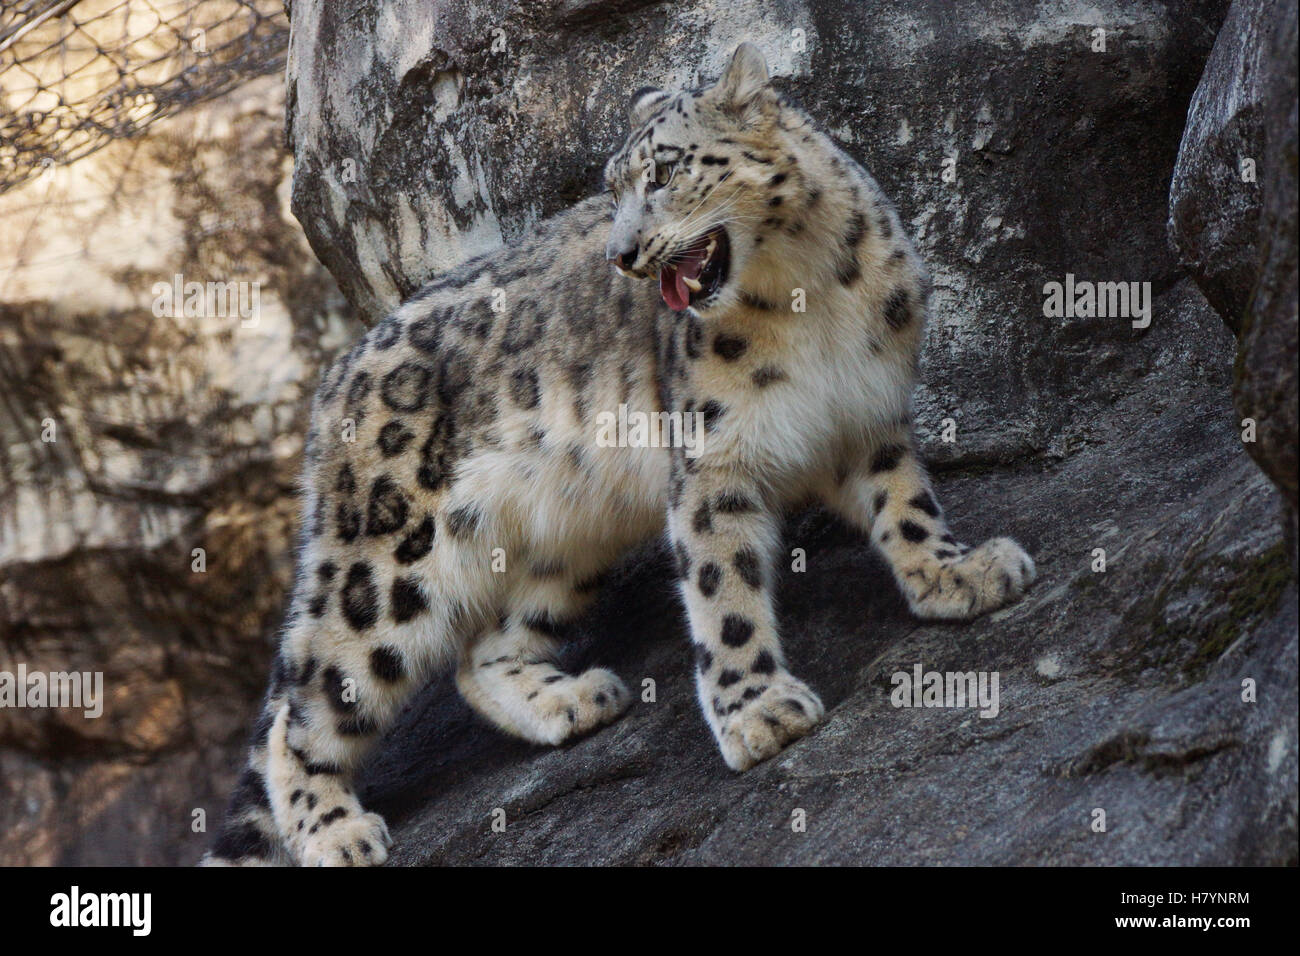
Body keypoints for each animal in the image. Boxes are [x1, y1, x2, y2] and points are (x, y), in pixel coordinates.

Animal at [204, 42, 1036, 866]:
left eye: (663, 173)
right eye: (612, 189)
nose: (624, 253)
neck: (811, 297)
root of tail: (332, 384)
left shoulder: (867, 416)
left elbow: (905, 503)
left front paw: (958, 574)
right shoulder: (711, 456)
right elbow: (723, 591)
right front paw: (758, 711)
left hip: (567, 542)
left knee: (480, 655)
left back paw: (573, 700)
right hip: (389, 566)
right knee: (305, 707)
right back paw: (334, 831)